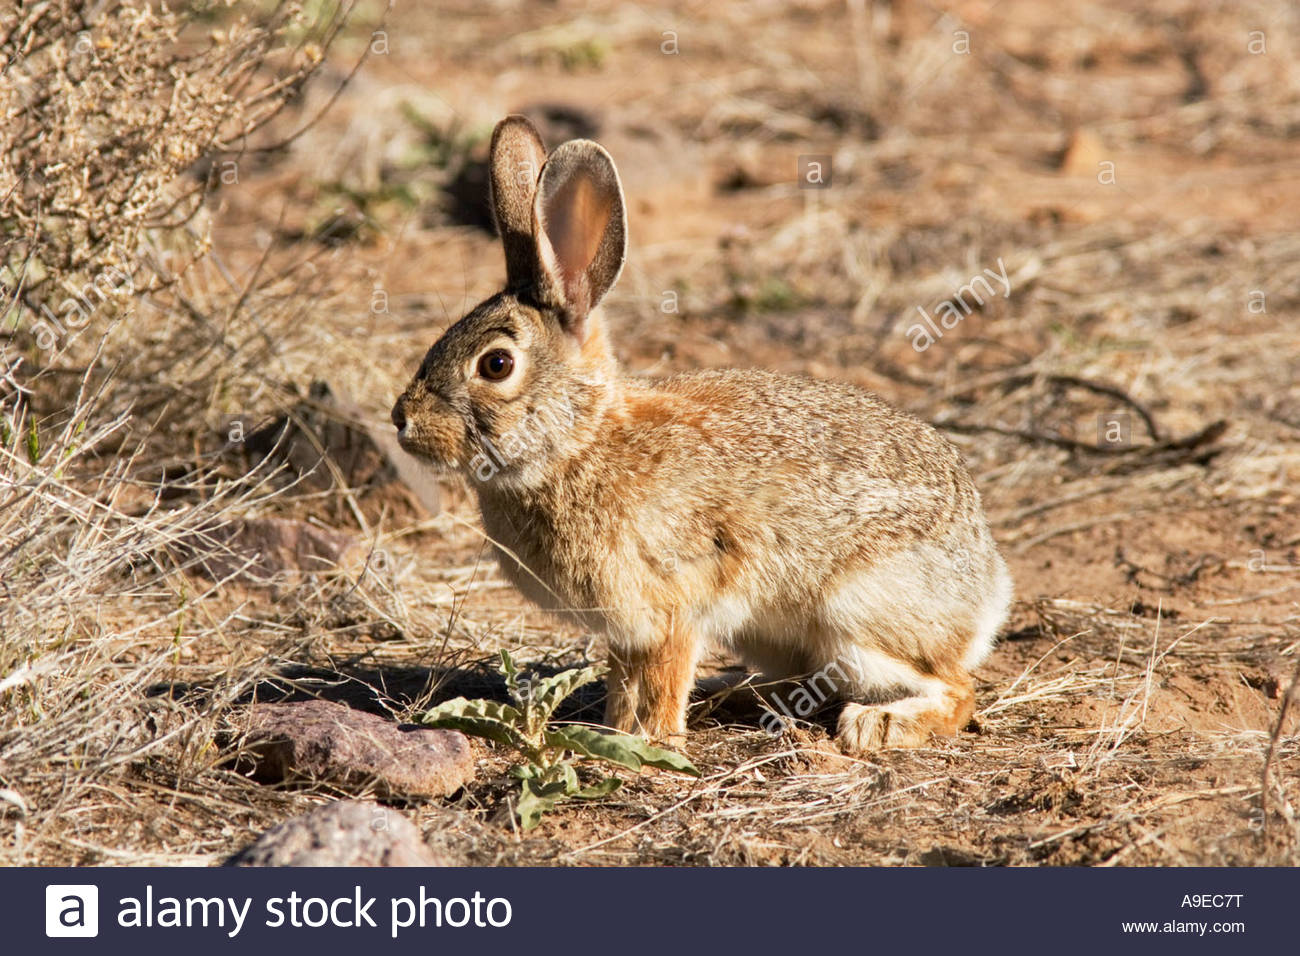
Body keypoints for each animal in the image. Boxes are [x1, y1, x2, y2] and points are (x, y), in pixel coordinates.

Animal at [392, 114, 1013, 752]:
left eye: (496, 365)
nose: (402, 421)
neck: (579, 443)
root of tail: (988, 586)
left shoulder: (672, 606)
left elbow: (661, 680)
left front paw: (647, 742)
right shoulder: (628, 631)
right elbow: (625, 683)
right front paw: (615, 730)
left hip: (854, 616)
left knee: (956, 689)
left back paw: (878, 724)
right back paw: (733, 693)